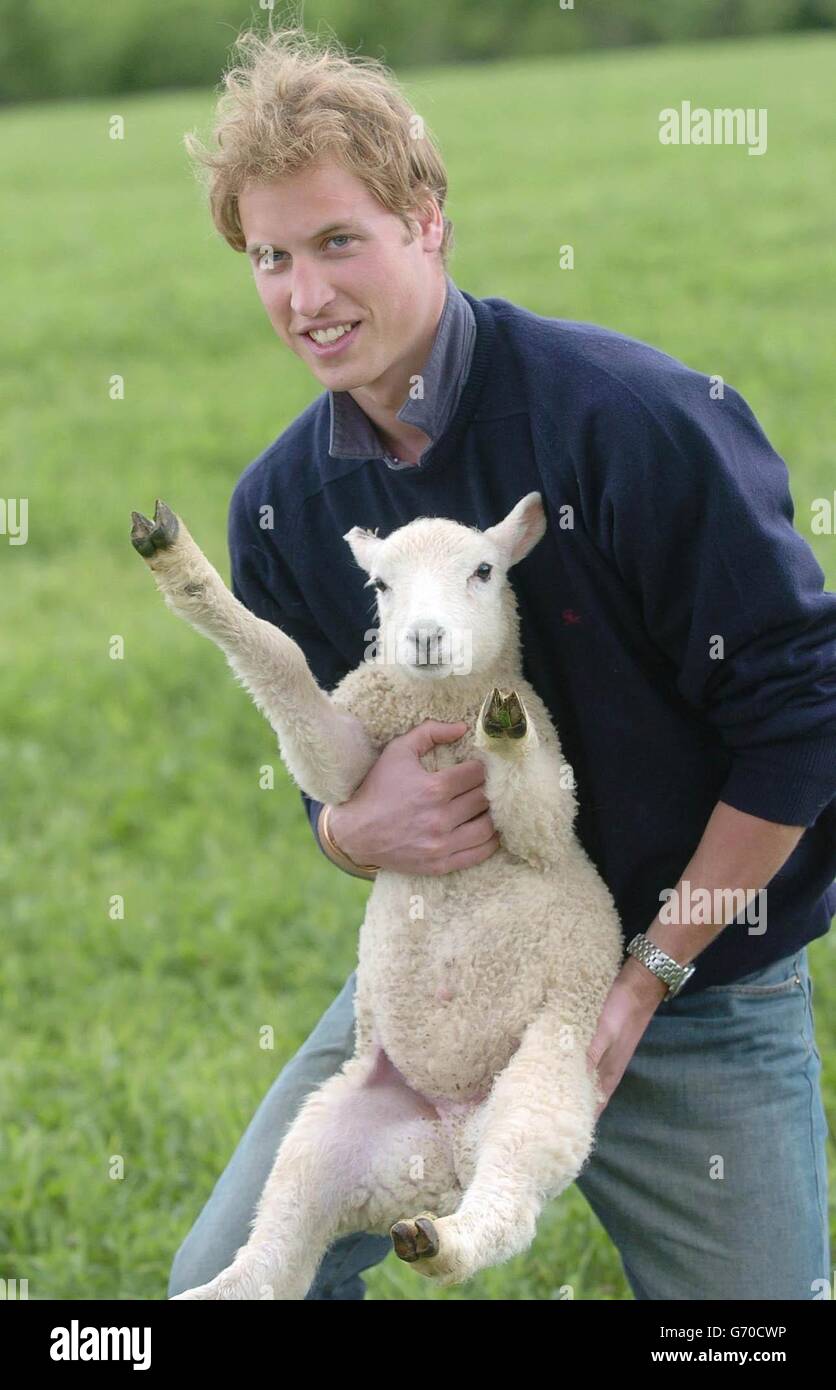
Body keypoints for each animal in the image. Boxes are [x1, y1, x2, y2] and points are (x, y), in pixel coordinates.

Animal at [130, 490, 624, 1298]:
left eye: (483, 571)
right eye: (382, 586)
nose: (423, 639)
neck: (438, 706)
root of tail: (449, 1152)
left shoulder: (549, 818)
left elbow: (535, 808)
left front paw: (503, 726)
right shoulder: (354, 754)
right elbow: (287, 676)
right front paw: (178, 565)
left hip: (546, 1069)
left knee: (513, 1194)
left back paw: (446, 1244)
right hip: (339, 1133)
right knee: (281, 1238)